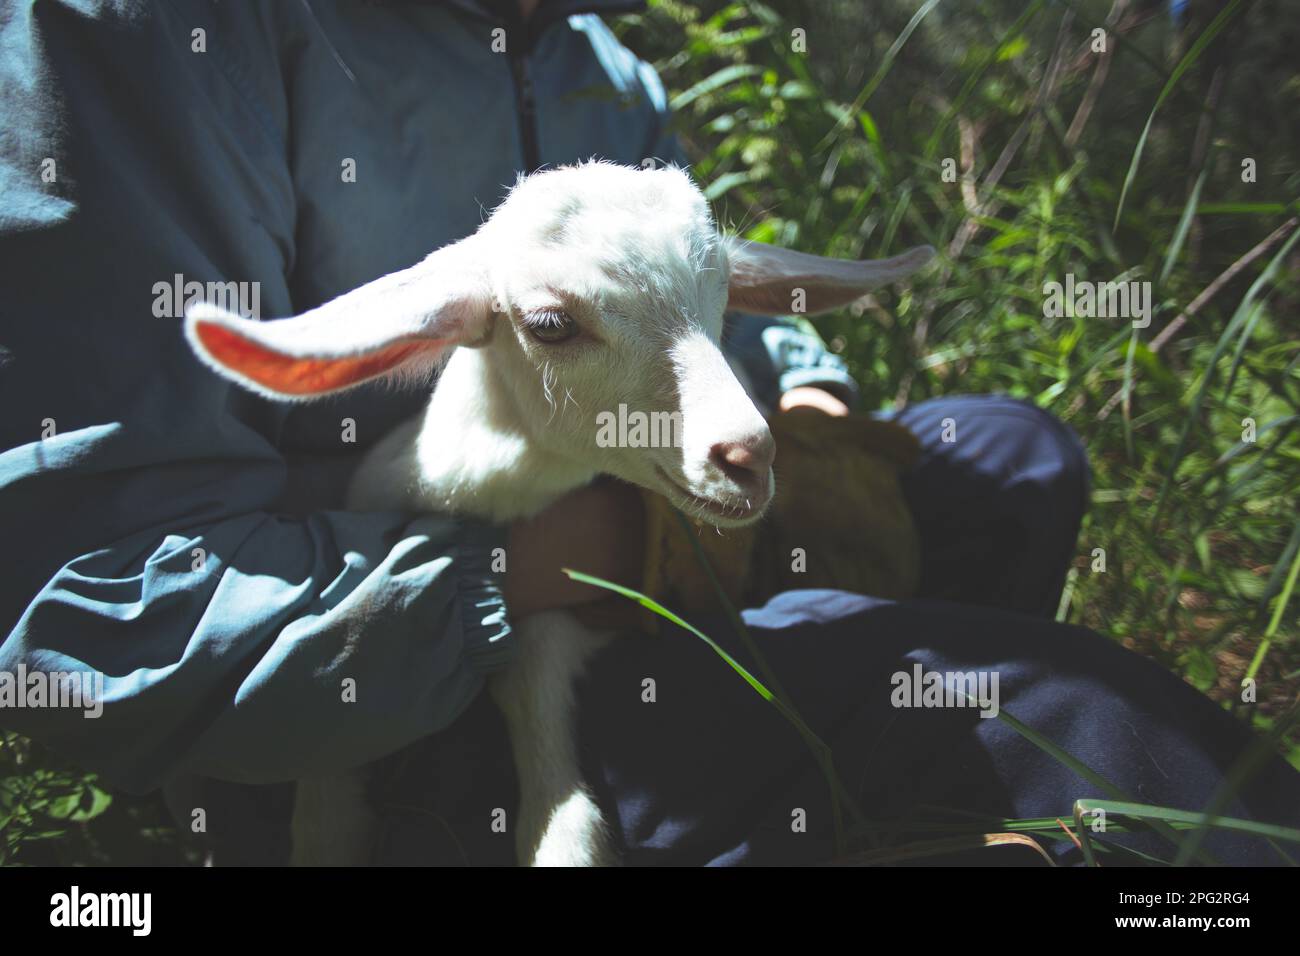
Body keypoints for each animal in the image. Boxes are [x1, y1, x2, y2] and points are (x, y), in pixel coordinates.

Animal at [184, 161, 933, 866]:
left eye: (722, 296)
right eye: (551, 325)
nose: (748, 453)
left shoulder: (553, 623)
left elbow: (549, 766)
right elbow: (325, 783)